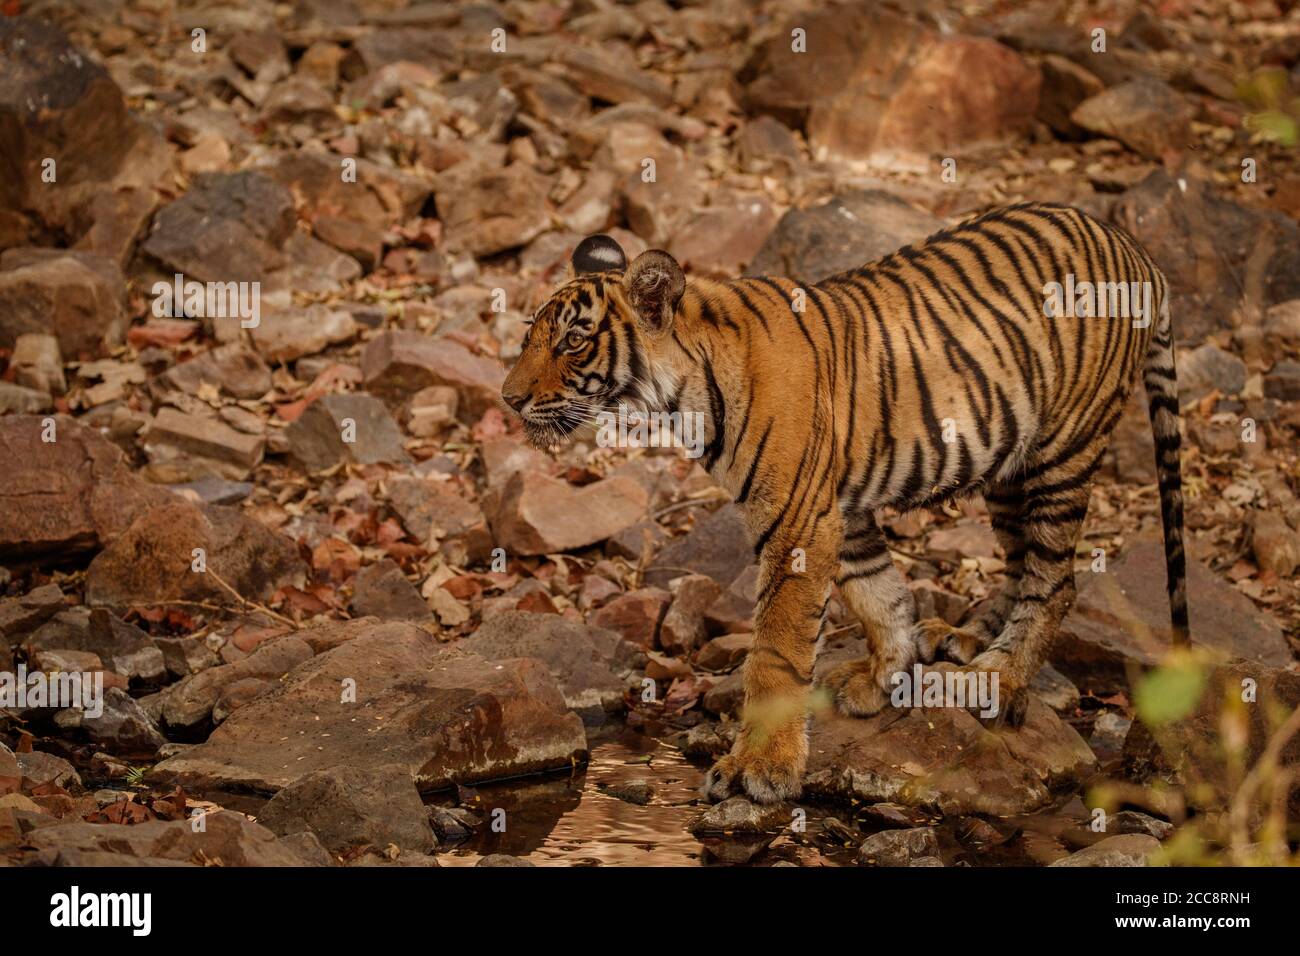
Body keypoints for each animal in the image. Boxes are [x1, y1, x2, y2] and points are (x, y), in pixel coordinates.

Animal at [500, 201, 1188, 805]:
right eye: (533, 334)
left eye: (573, 342)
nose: (507, 398)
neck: (685, 396)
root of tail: (1139, 251)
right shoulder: (842, 509)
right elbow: (879, 593)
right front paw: (884, 677)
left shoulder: (798, 521)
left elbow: (776, 651)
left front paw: (760, 769)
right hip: (1007, 466)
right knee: (1022, 565)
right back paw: (963, 640)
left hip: (1061, 450)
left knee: (1057, 580)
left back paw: (996, 677)